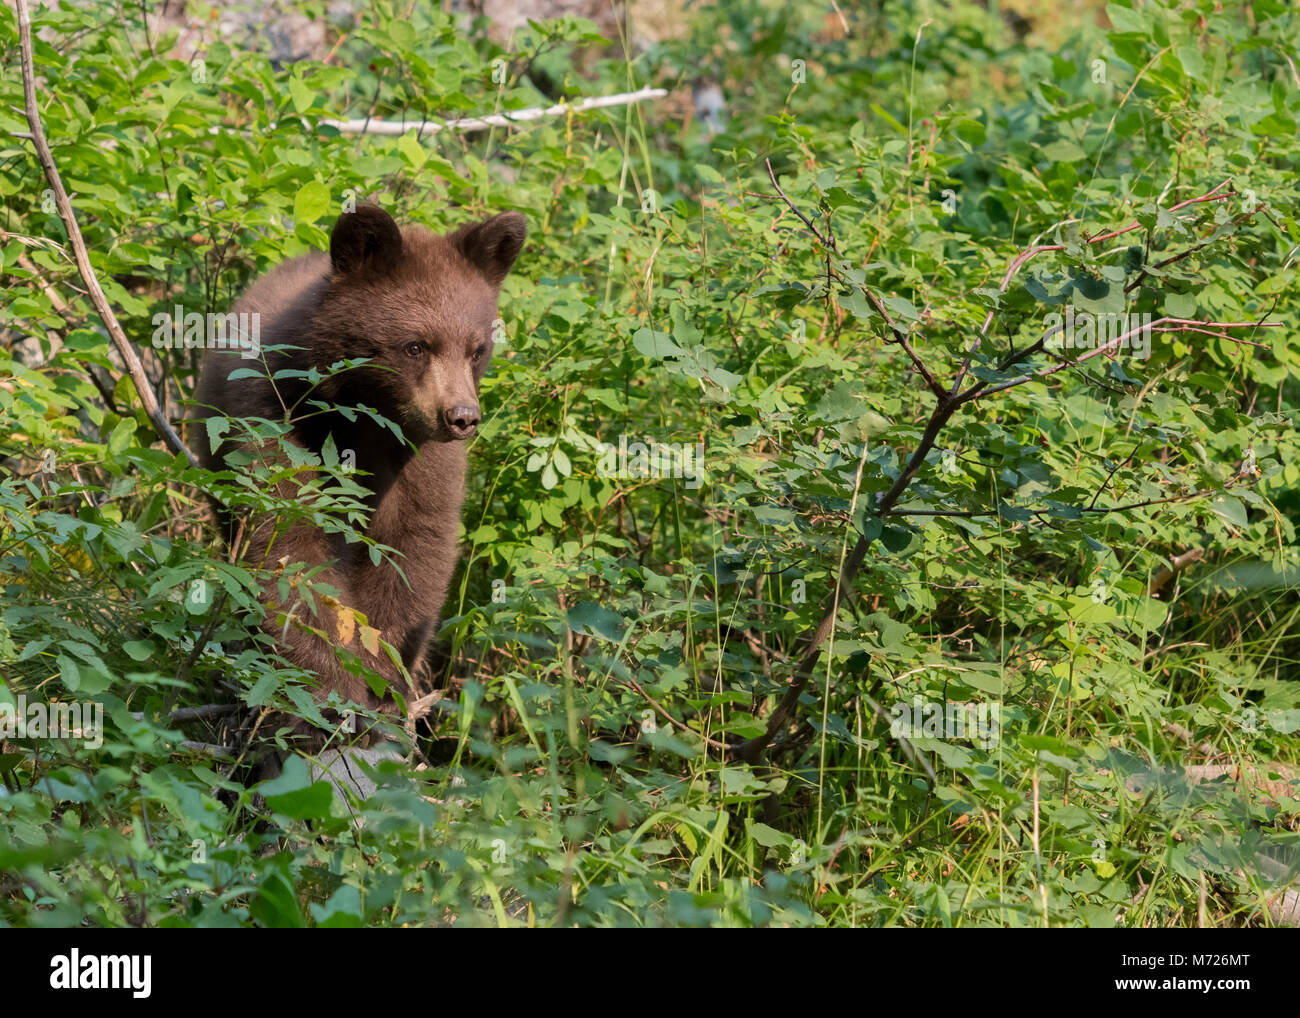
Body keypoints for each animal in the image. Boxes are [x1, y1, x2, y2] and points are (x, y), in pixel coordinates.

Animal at [191, 203, 525, 738]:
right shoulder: (274, 412)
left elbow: (413, 551)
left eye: (476, 349)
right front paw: (328, 695)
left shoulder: (419, 458)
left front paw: (381, 687)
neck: (361, 412)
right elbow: (289, 545)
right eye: (416, 345)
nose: (461, 417)